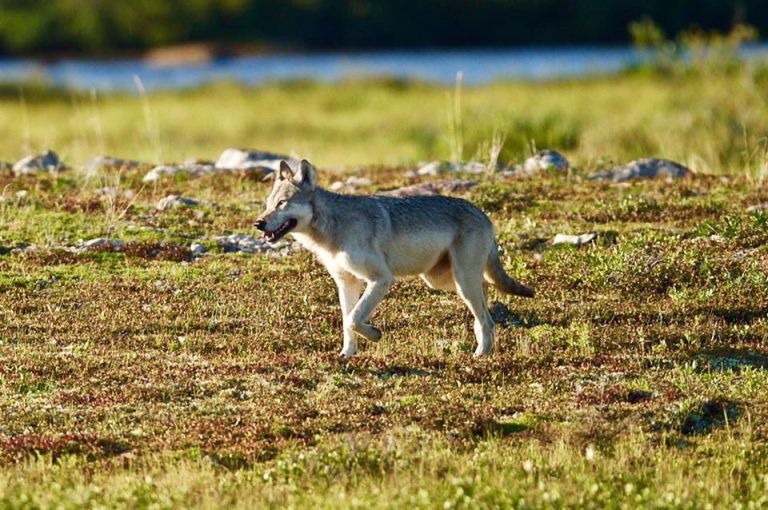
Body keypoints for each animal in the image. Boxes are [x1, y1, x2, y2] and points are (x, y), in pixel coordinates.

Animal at [255, 159, 534, 357]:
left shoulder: (381, 279)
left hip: (461, 281)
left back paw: (480, 354)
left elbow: (354, 319)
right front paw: (347, 354)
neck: (332, 229)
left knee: (486, 317)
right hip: (443, 281)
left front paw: (374, 335)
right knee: (485, 301)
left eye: (282, 203)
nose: (258, 223)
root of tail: (484, 215)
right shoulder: (346, 283)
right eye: (268, 204)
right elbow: (347, 321)